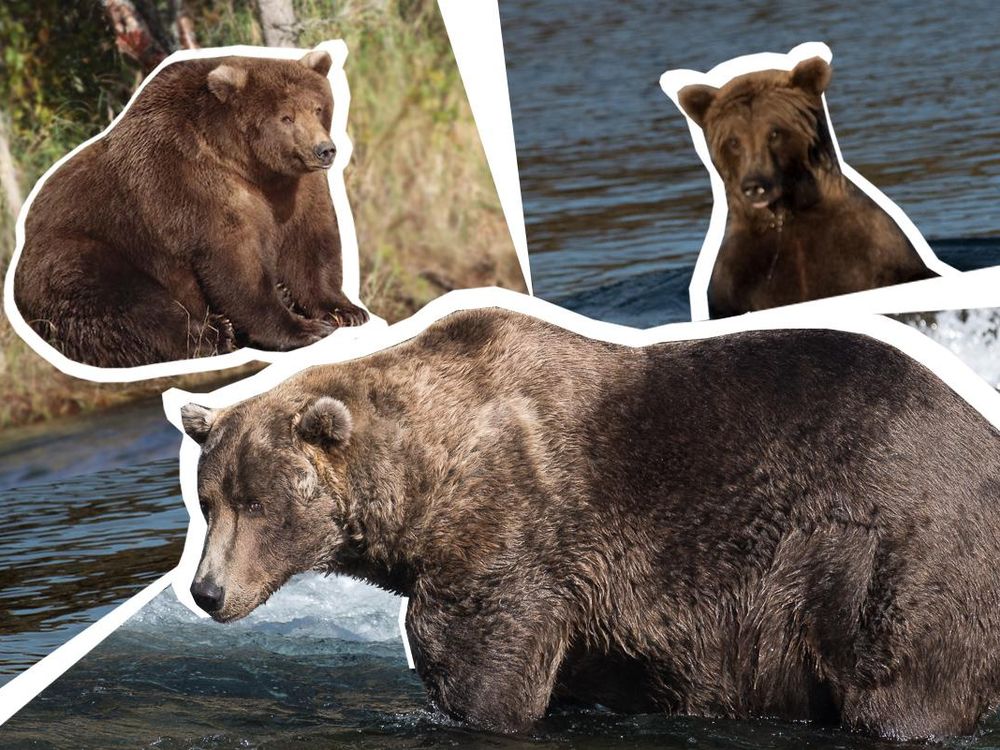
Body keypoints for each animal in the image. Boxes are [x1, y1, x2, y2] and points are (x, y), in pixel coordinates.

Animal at [13, 51, 368, 368]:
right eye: (286, 117)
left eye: (317, 108)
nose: (324, 150)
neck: (249, 165)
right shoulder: (189, 182)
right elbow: (234, 261)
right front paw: (303, 328)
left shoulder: (293, 189)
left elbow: (310, 243)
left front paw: (346, 310)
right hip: (80, 252)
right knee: (126, 302)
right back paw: (215, 334)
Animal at [181, 308, 1000, 739]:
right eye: (208, 501)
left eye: (257, 504)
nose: (206, 591)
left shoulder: (511, 539)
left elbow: (481, 670)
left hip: (888, 549)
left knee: (903, 685)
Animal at [677, 57, 937, 318]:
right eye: (733, 141)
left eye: (774, 133)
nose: (754, 186)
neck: (788, 212)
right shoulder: (737, 278)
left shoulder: (872, 248)